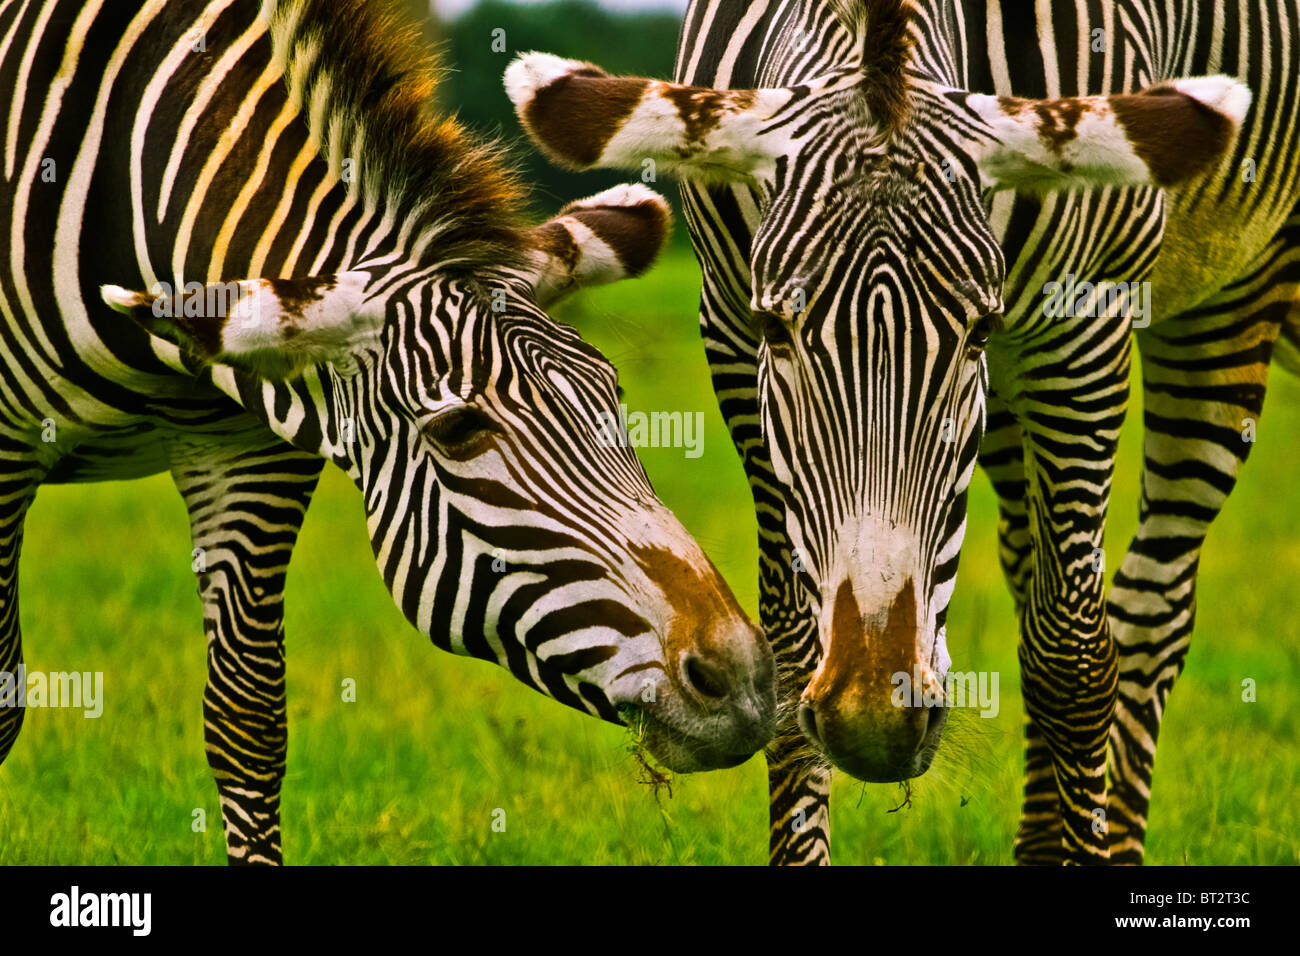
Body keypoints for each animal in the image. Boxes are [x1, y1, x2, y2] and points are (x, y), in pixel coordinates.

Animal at [0, 0, 777, 865]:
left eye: (614, 398)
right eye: (459, 428)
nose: (743, 680)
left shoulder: (248, 453)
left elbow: (248, 721)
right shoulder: (6, 448)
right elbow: (2, 705)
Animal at [504, 0, 1299, 864]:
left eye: (977, 331)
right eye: (776, 330)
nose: (875, 723)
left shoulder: (1082, 322)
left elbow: (1075, 653)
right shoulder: (730, 324)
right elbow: (791, 644)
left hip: (1228, 296)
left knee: (1147, 615)